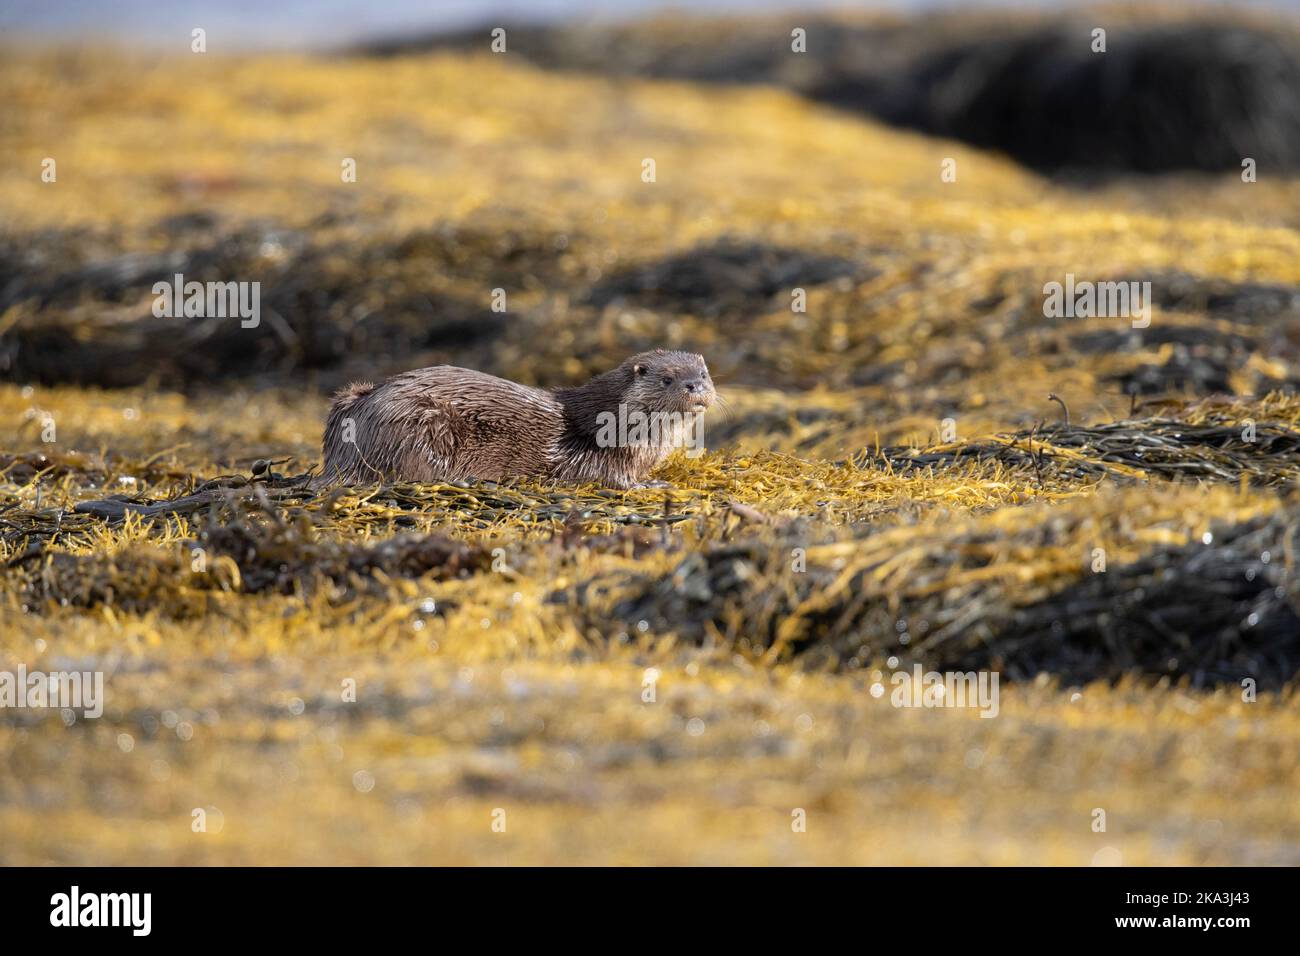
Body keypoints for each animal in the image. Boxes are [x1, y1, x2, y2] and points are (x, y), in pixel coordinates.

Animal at [318, 350, 715, 488]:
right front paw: (652, 485)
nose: (694, 386)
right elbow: (607, 477)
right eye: (667, 379)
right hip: (418, 423)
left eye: (704, 373)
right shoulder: (592, 454)